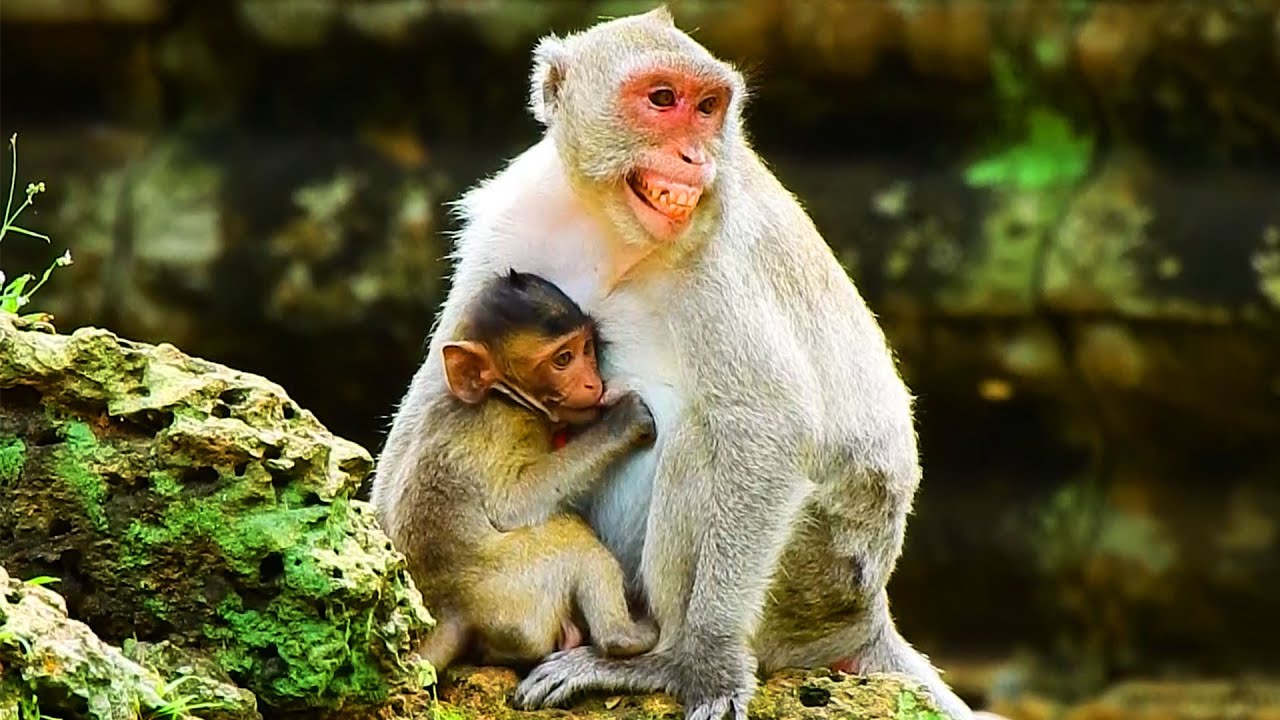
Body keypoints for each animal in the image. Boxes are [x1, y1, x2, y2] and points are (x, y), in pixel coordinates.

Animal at [370, 269, 659, 672]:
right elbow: (510, 505)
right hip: (516, 585)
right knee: (572, 539)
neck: (504, 396)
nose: (593, 382)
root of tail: (452, 607)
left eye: (586, 349)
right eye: (563, 359)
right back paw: (624, 637)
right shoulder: (505, 426)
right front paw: (622, 422)